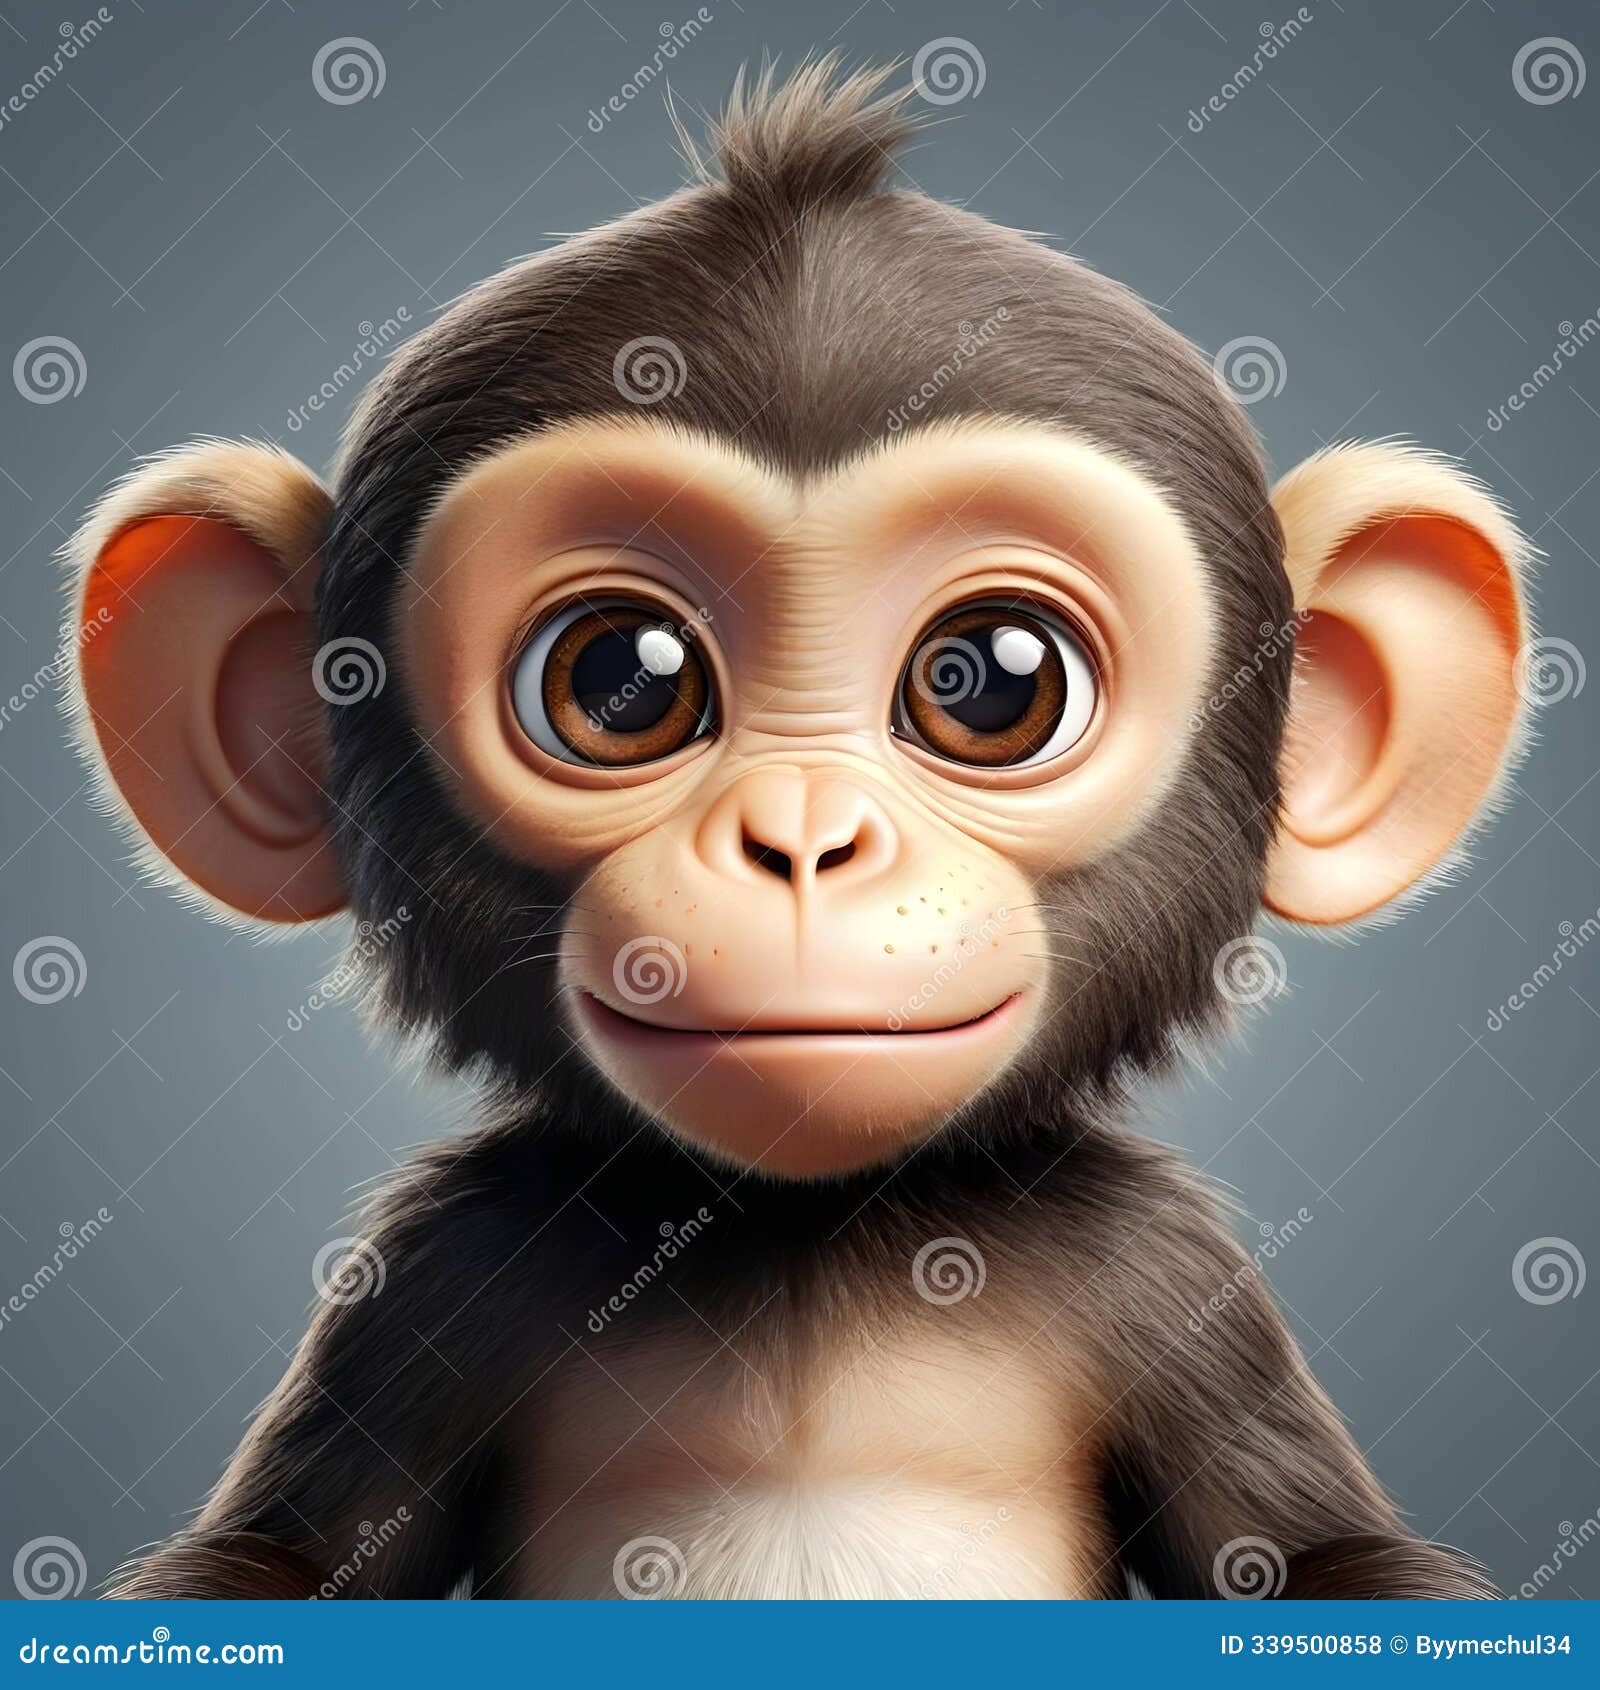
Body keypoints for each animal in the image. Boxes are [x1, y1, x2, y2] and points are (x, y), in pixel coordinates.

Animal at [62, 63, 1532, 1600]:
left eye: (993, 677)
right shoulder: (445, 1265)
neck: (803, 1232)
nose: (807, 839)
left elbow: (1308, 1561)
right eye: (620, 675)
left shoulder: (1164, 1271)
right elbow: (285, 1558)